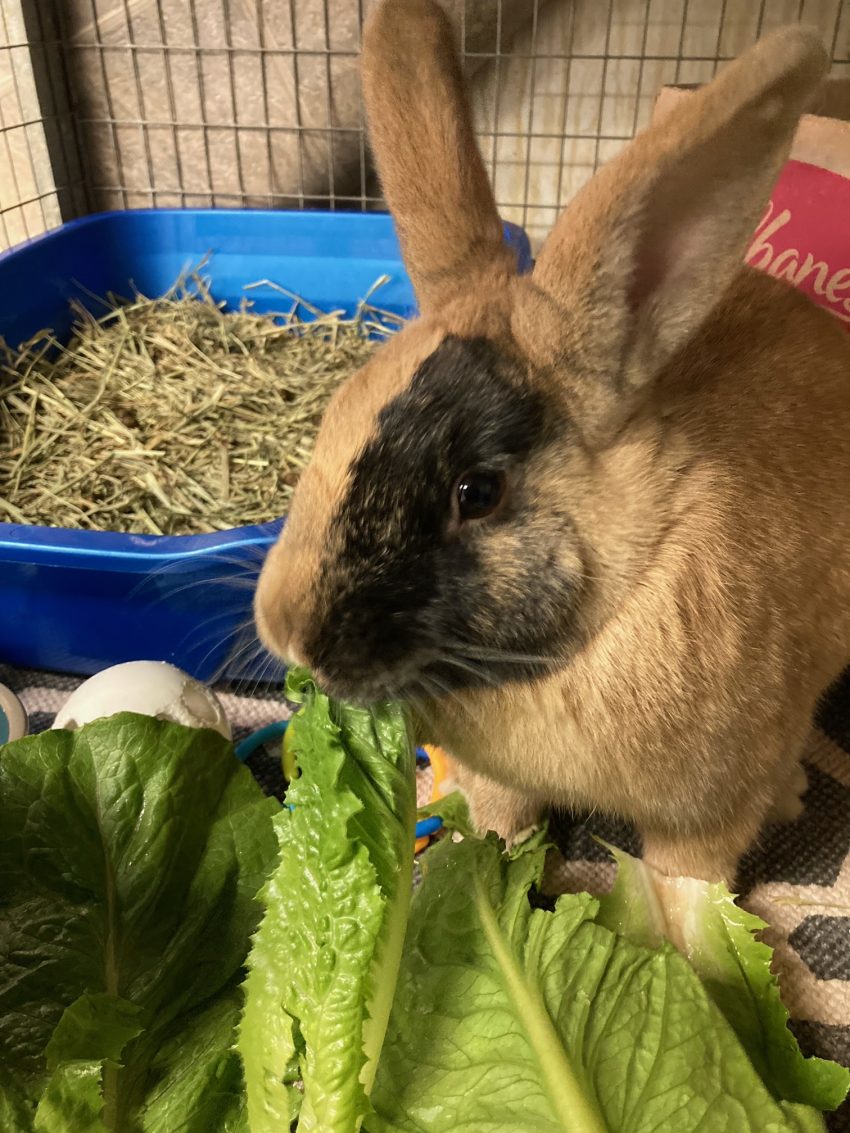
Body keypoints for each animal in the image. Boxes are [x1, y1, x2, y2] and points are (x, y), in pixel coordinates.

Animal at [254, 0, 850, 885]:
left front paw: (680, 924)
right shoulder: (502, 778)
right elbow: (502, 819)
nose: (286, 630)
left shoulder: (708, 813)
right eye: (333, 415)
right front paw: (486, 862)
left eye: (477, 491)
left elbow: (688, 878)